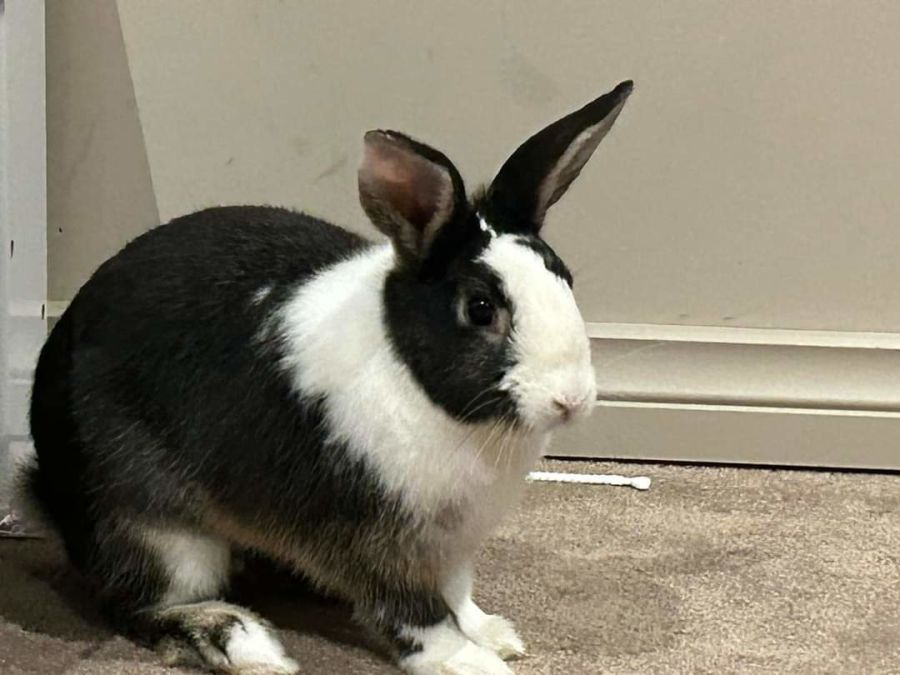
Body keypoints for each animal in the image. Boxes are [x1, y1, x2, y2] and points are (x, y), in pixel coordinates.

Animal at [20, 80, 633, 675]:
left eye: (565, 277)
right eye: (480, 309)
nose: (571, 400)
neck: (418, 383)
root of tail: (51, 495)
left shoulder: (450, 541)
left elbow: (457, 592)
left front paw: (493, 634)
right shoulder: (369, 536)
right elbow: (413, 611)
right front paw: (468, 662)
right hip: (158, 534)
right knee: (134, 607)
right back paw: (242, 641)